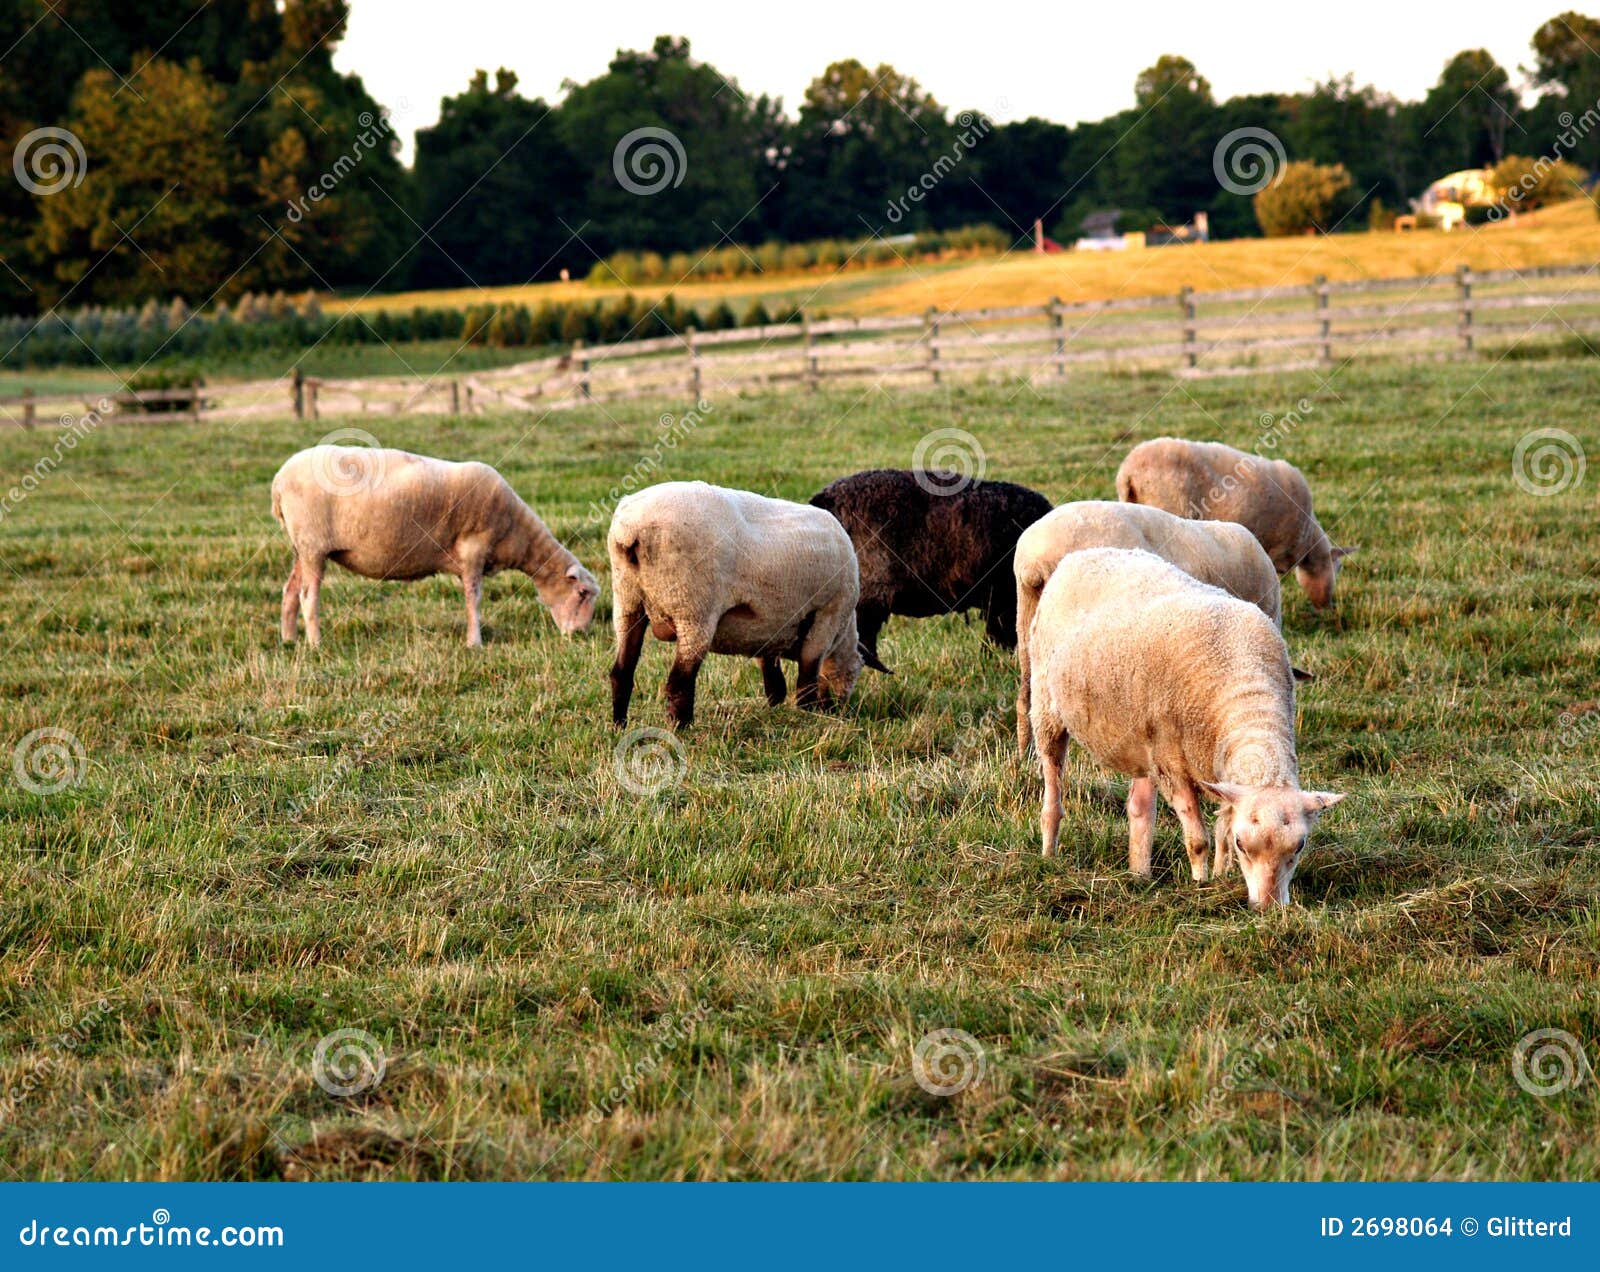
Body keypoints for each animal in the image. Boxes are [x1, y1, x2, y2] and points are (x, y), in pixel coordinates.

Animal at [271, 445, 598, 647]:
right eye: (582, 593)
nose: (581, 635)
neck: (515, 533)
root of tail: (278, 481)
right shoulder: (473, 550)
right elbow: (474, 598)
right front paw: (474, 643)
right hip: (313, 545)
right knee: (308, 596)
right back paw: (315, 643)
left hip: (300, 547)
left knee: (290, 591)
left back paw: (289, 640)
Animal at [608, 481, 875, 728]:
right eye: (856, 670)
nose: (837, 709)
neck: (843, 633)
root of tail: (630, 530)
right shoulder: (827, 615)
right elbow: (807, 676)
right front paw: (807, 715)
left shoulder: (767, 628)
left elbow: (773, 678)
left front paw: (775, 710)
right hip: (693, 610)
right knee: (678, 682)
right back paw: (681, 728)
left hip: (627, 602)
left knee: (621, 673)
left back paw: (620, 725)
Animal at [1028, 547, 1344, 909]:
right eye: (1244, 844)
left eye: (1300, 846)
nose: (1267, 907)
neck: (1246, 693)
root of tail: (1086, 553)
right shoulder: (1172, 767)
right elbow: (1199, 839)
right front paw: (1201, 885)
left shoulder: (1217, 770)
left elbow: (1221, 830)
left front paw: (1221, 875)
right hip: (1046, 704)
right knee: (1052, 784)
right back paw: (1049, 851)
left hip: (1144, 737)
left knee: (1140, 807)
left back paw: (1140, 874)